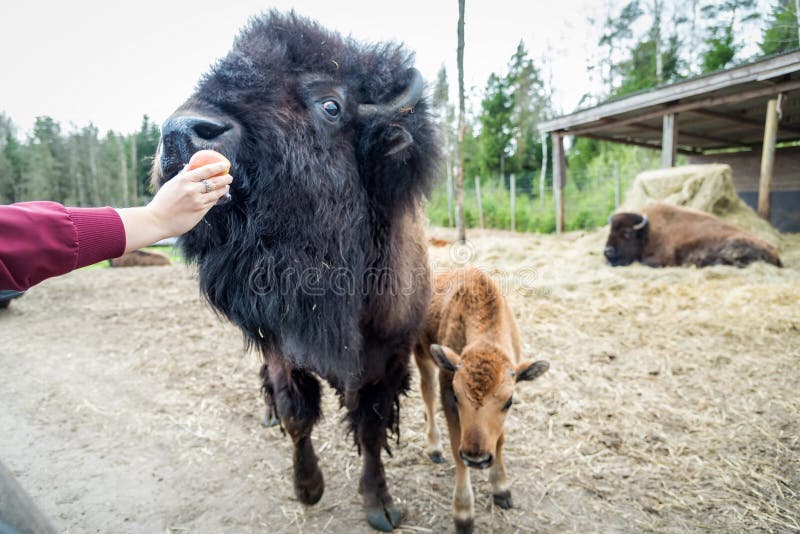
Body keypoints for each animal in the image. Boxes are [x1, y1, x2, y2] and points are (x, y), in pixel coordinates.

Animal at [151, 12, 439, 531]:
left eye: (331, 106)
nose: (182, 132)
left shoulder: (387, 361)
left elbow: (370, 429)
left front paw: (380, 505)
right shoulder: (284, 348)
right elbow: (297, 415)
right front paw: (308, 488)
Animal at [605, 203, 782, 268]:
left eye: (627, 233)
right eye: (610, 231)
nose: (607, 252)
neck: (649, 232)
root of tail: (775, 251)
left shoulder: (664, 257)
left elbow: (645, 262)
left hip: (733, 246)